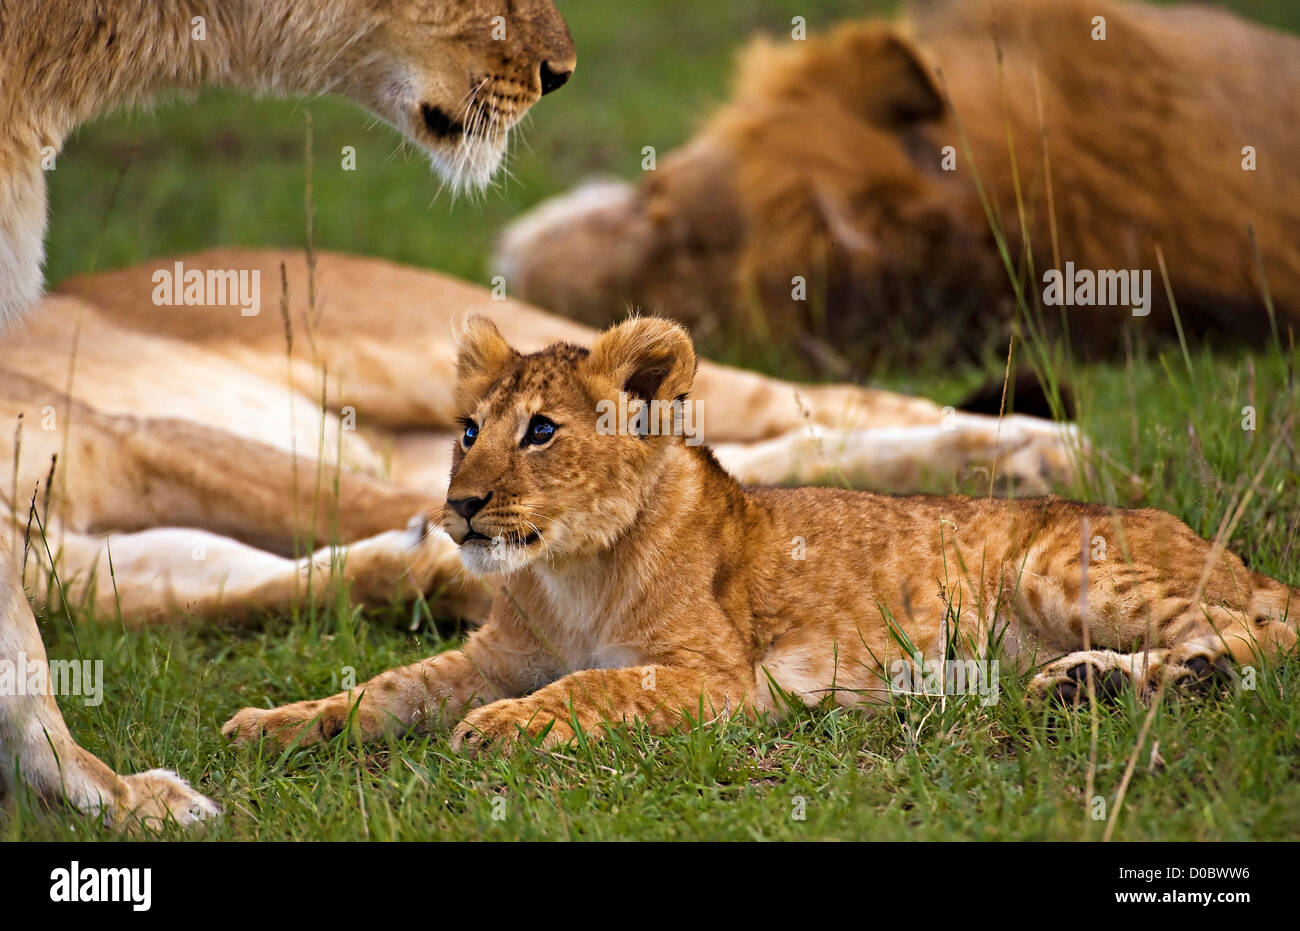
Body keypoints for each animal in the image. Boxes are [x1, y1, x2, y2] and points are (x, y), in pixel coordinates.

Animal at [223, 316, 1298, 753]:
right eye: (466, 430)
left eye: (542, 431)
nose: (461, 507)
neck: (566, 576)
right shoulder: (494, 655)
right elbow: (386, 686)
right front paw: (275, 723)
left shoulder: (720, 677)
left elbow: (594, 684)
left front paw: (505, 727)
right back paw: (1091, 685)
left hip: (1060, 565)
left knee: (1267, 632)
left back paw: (1171, 674)